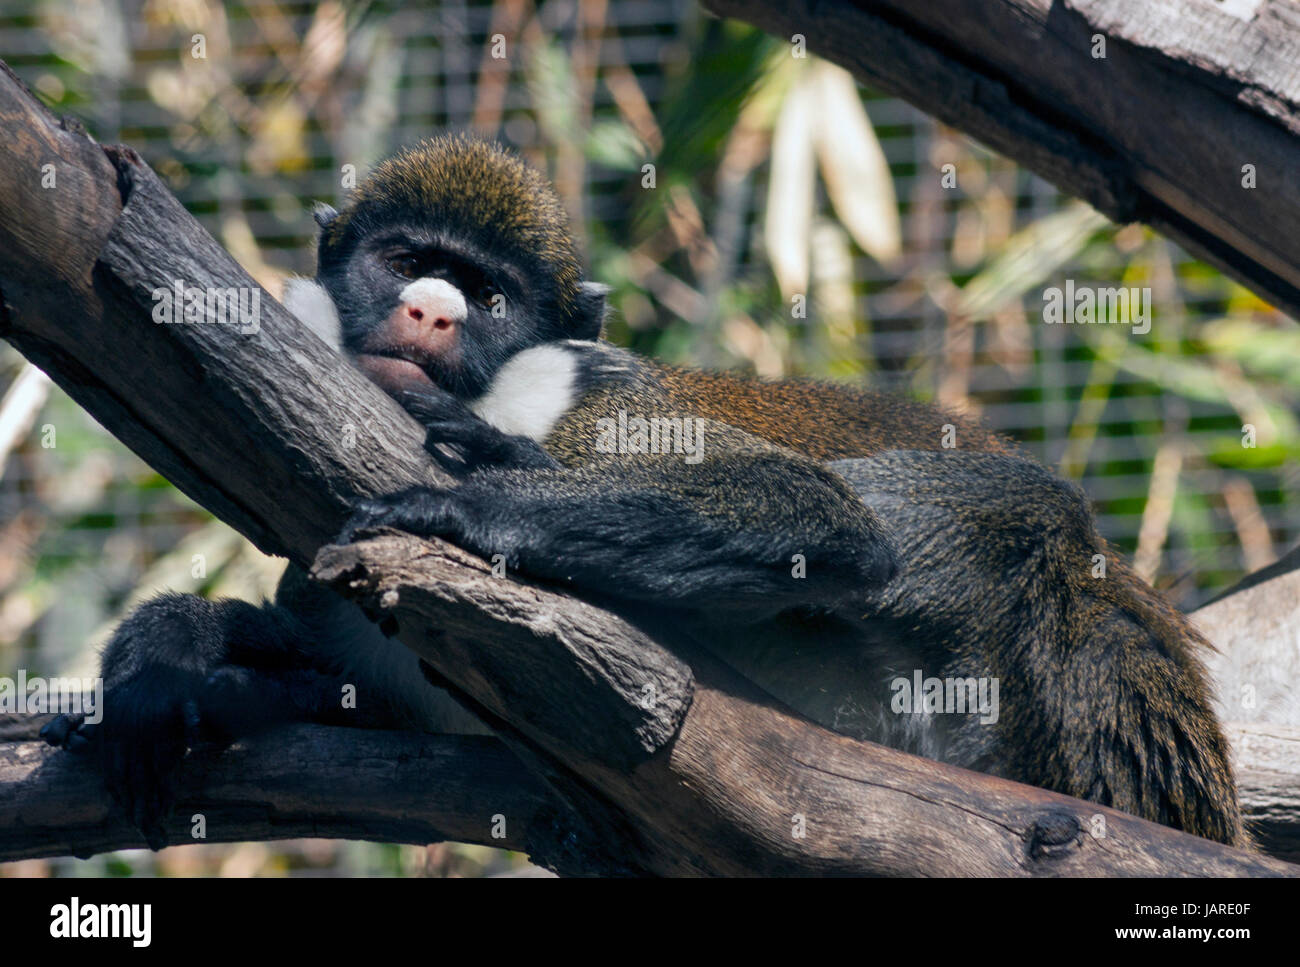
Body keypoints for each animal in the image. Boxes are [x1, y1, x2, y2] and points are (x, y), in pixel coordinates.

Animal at [42, 134, 1245, 851]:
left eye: (485, 297)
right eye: (402, 262)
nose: (429, 311)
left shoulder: (600, 404)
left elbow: (814, 514)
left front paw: (469, 511)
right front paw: (167, 655)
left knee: (977, 504)